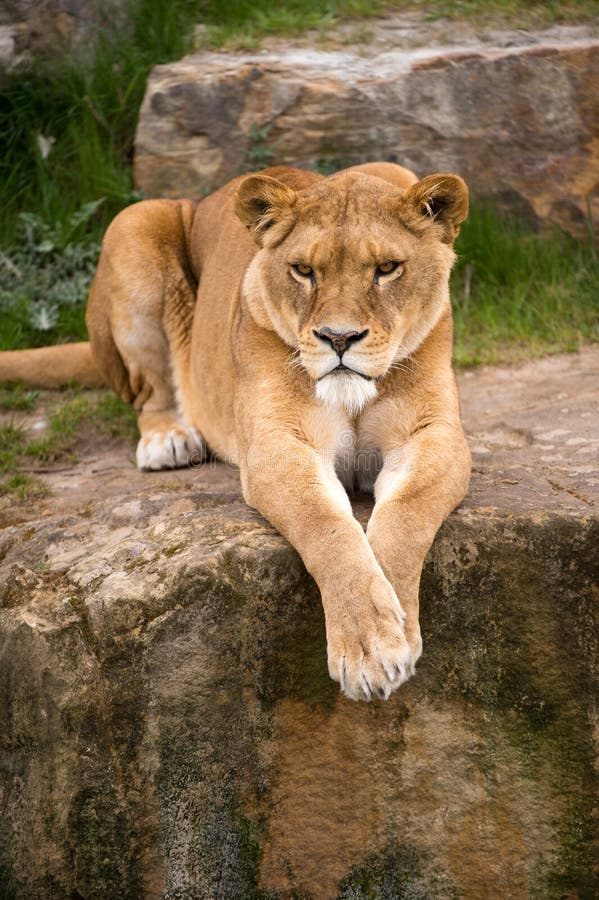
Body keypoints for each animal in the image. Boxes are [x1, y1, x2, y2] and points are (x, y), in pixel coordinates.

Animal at [0, 162, 471, 701]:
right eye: (304, 271)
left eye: (388, 268)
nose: (338, 338)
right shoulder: (274, 444)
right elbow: (327, 526)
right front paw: (370, 643)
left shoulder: (435, 434)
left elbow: (404, 518)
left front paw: (394, 630)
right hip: (134, 224)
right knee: (150, 394)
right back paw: (168, 440)